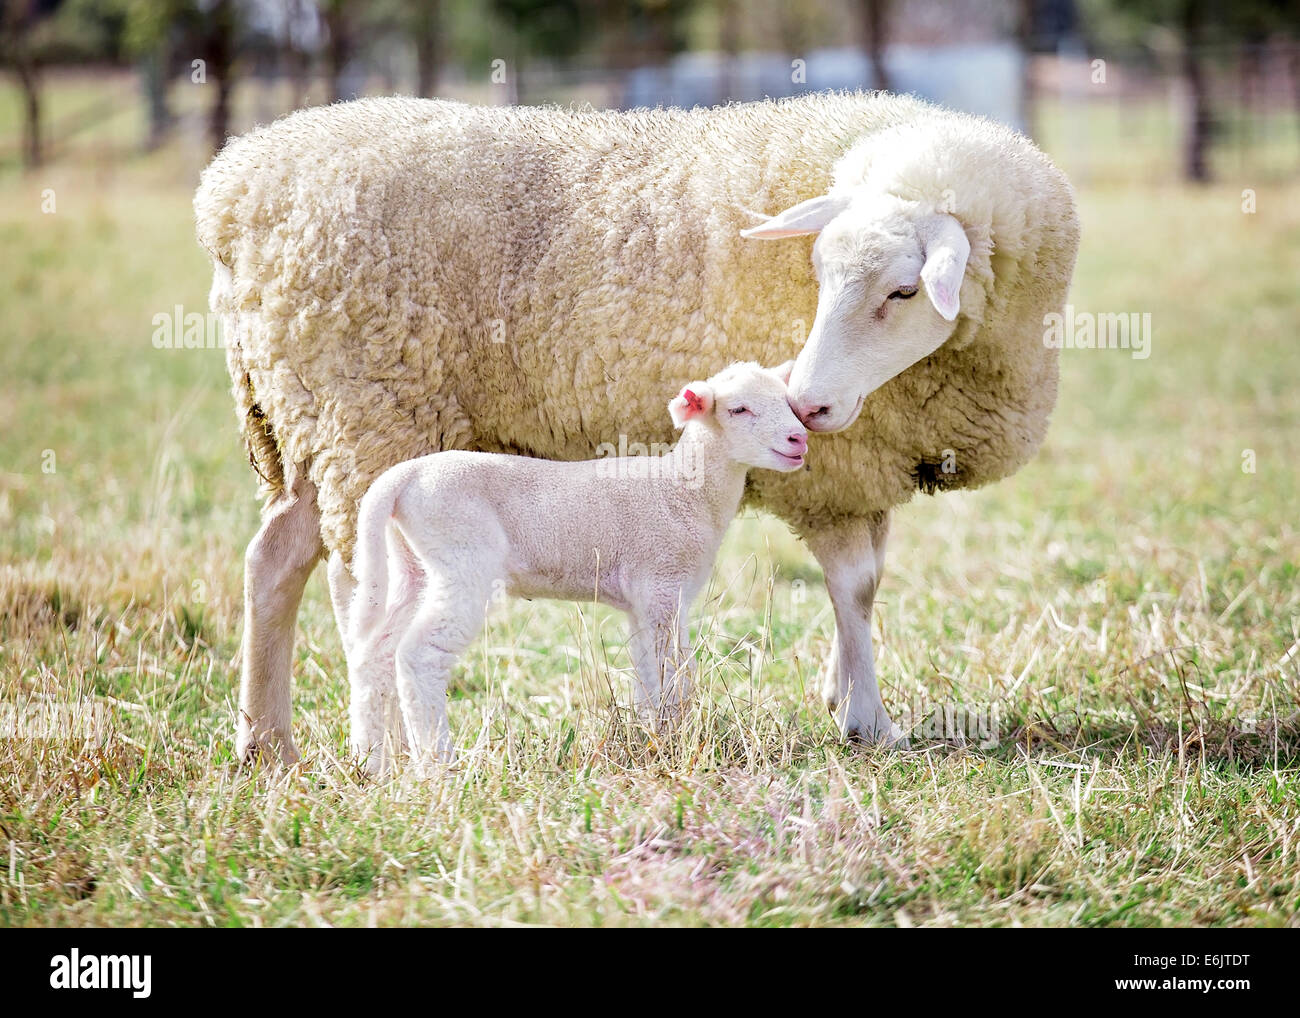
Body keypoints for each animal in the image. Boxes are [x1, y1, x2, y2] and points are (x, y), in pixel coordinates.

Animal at [341, 362, 807, 773]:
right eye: (738, 409)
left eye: (788, 402)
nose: (798, 438)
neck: (683, 488)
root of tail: (403, 477)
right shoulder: (663, 584)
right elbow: (674, 670)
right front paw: (679, 739)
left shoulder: (643, 601)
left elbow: (647, 673)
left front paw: (654, 739)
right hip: (461, 555)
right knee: (419, 654)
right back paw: (437, 765)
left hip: (413, 565)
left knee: (375, 654)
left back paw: (372, 763)